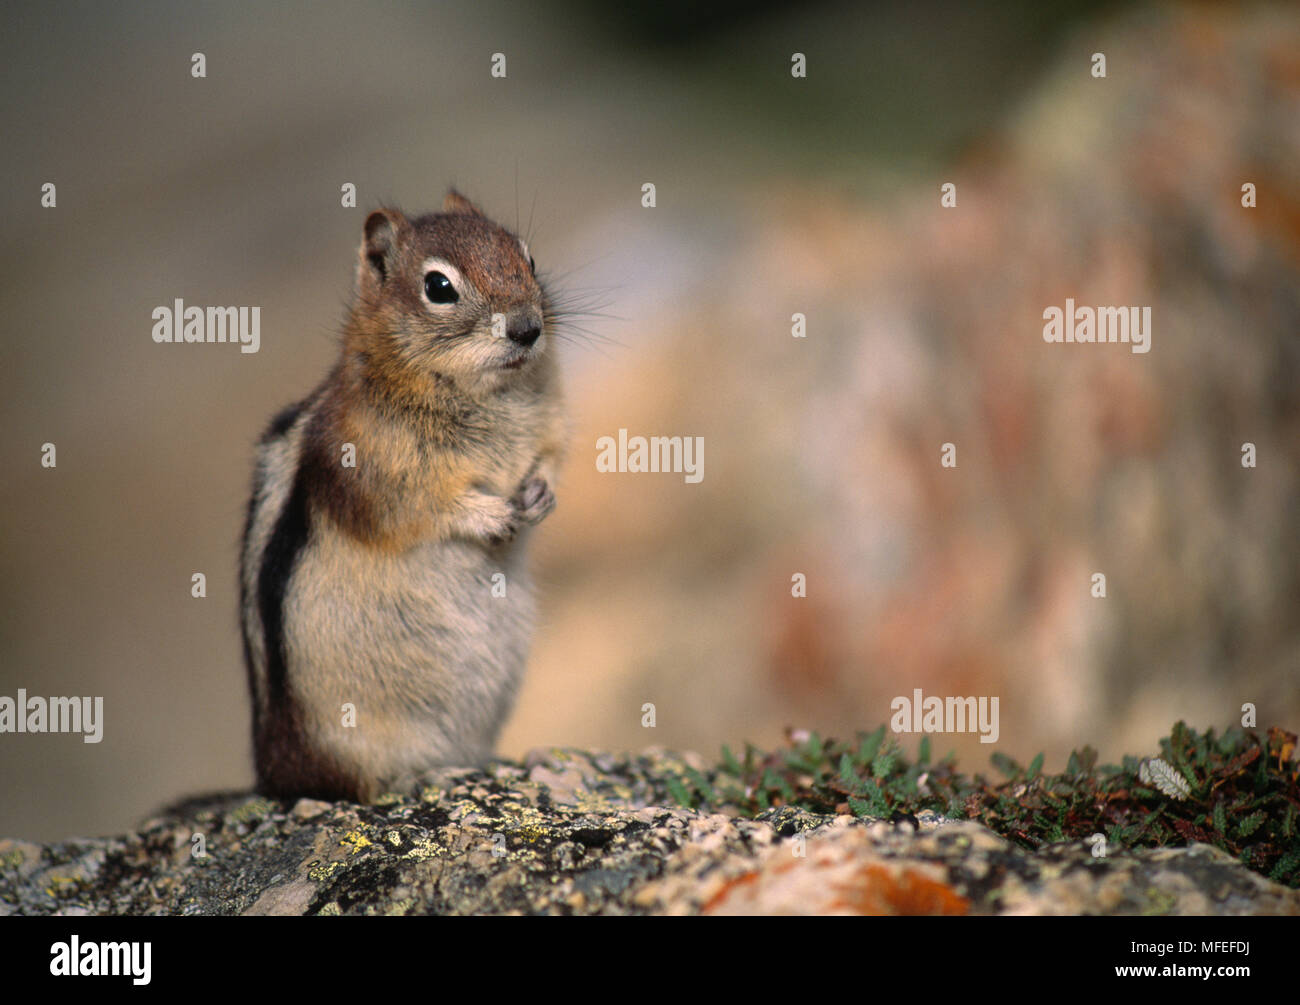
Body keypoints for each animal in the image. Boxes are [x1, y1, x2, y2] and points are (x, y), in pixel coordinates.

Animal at [239, 190, 566, 802]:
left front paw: (540, 495)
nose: (528, 328)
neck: (486, 394)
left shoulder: (552, 426)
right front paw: (491, 514)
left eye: (529, 259)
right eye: (438, 287)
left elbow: (552, 460)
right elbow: (420, 512)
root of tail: (274, 773)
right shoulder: (372, 476)